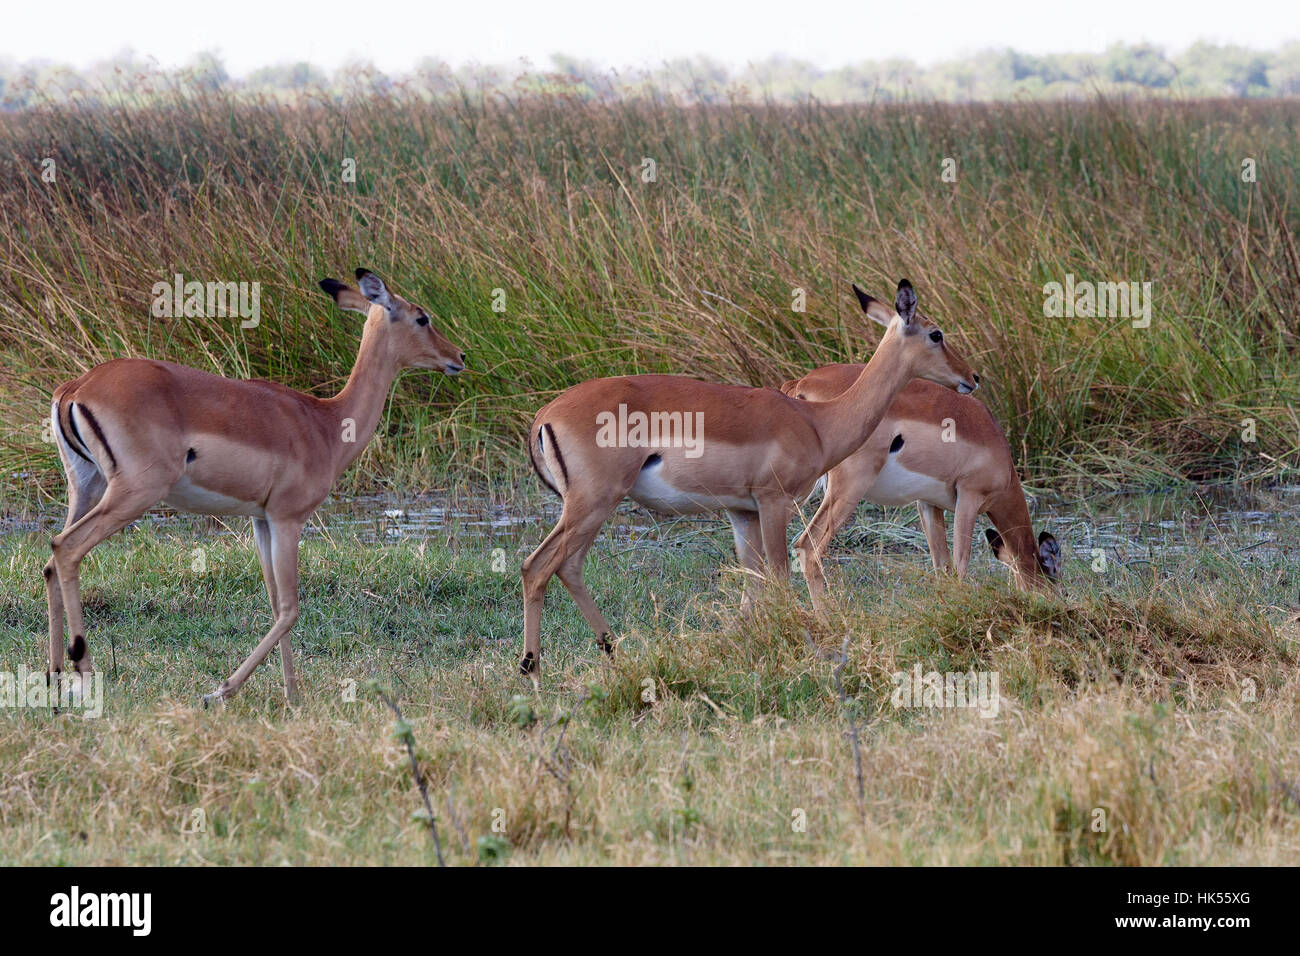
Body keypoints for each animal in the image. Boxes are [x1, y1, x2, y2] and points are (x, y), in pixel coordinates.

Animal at [43, 269, 466, 703]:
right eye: (421, 318)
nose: (459, 358)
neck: (327, 423)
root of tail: (76, 388)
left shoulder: (261, 520)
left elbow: (275, 603)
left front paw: (292, 696)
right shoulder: (287, 518)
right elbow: (291, 608)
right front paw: (220, 691)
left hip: (87, 488)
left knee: (51, 558)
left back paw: (54, 678)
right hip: (133, 494)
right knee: (67, 548)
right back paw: (84, 673)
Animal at [521, 279, 978, 673]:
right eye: (936, 333)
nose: (971, 378)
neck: (817, 422)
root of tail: (545, 415)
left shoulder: (742, 513)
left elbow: (753, 585)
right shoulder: (775, 503)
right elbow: (779, 576)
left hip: (590, 509)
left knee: (568, 567)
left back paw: (610, 651)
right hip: (593, 504)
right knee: (536, 566)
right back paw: (533, 671)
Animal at [780, 368, 1061, 604]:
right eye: (1056, 574)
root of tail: (801, 383)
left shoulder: (928, 503)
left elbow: (942, 567)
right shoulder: (969, 498)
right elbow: (960, 565)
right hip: (845, 489)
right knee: (807, 548)